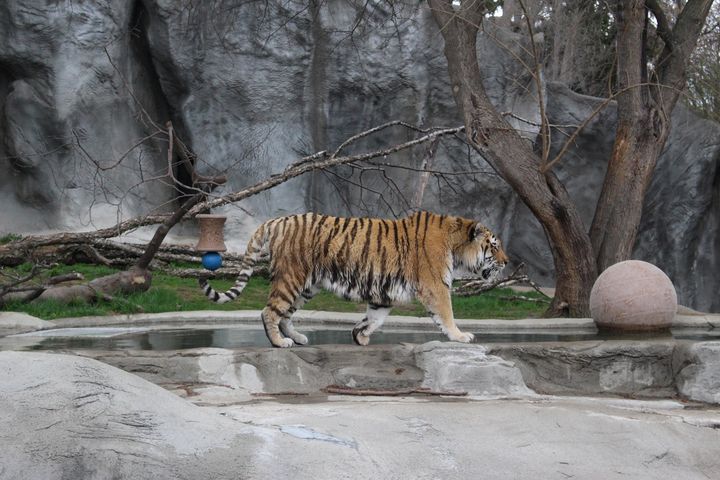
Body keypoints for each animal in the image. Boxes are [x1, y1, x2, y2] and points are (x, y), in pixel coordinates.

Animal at [199, 211, 509, 348]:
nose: (507, 262)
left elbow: (375, 317)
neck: (456, 246)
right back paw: (279, 342)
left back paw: (297, 337)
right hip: (292, 277)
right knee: (269, 311)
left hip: (307, 286)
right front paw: (460, 336)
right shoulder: (436, 286)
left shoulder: (384, 293)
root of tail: (277, 221)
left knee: (285, 314)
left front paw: (360, 335)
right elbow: (446, 314)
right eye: (494, 246)